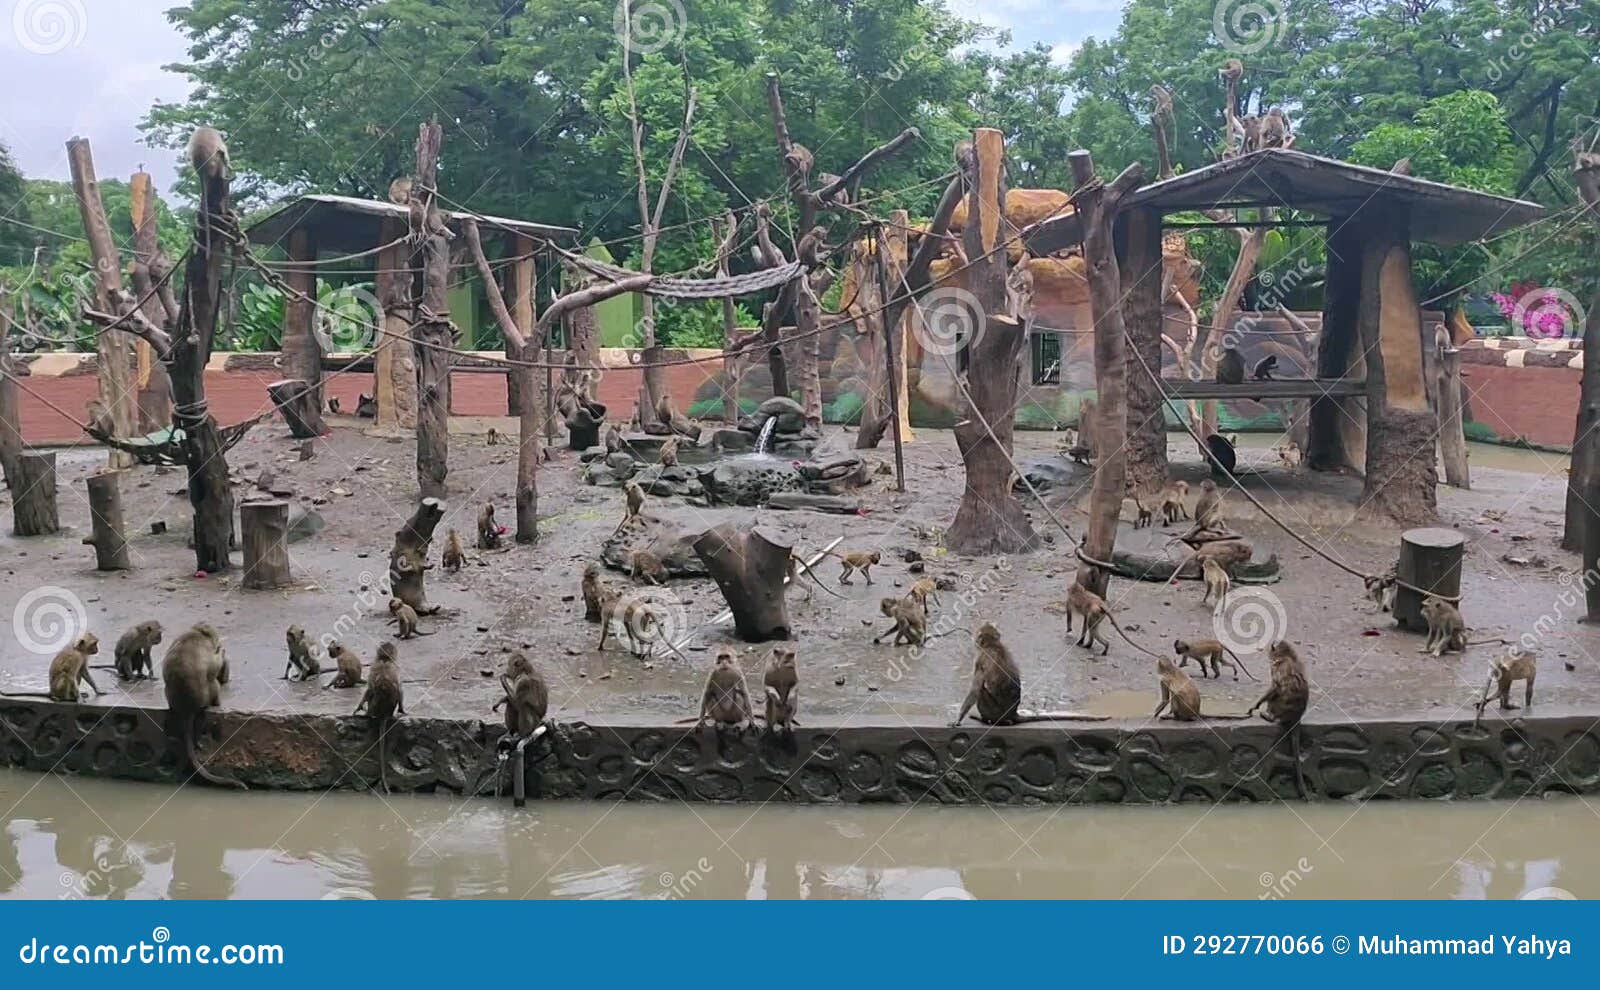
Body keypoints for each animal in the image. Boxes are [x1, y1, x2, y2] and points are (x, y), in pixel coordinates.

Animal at [161, 623, 245, 789]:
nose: (218, 643)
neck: (198, 633)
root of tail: (186, 707)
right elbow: (215, 665)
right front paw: (221, 652)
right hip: (207, 694)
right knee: (213, 681)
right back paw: (217, 701)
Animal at [354, 642, 406, 795]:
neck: (385, 659)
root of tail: (384, 714)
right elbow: (400, 690)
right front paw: (402, 710)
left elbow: (370, 690)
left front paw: (359, 707)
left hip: (373, 707)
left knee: (371, 693)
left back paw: (367, 713)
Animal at [1246, 640, 1310, 798]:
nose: (1267, 650)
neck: (1287, 655)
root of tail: (1297, 716)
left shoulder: (1277, 667)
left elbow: (1275, 686)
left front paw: (1256, 705)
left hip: (1281, 708)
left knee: (1277, 695)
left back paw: (1269, 716)